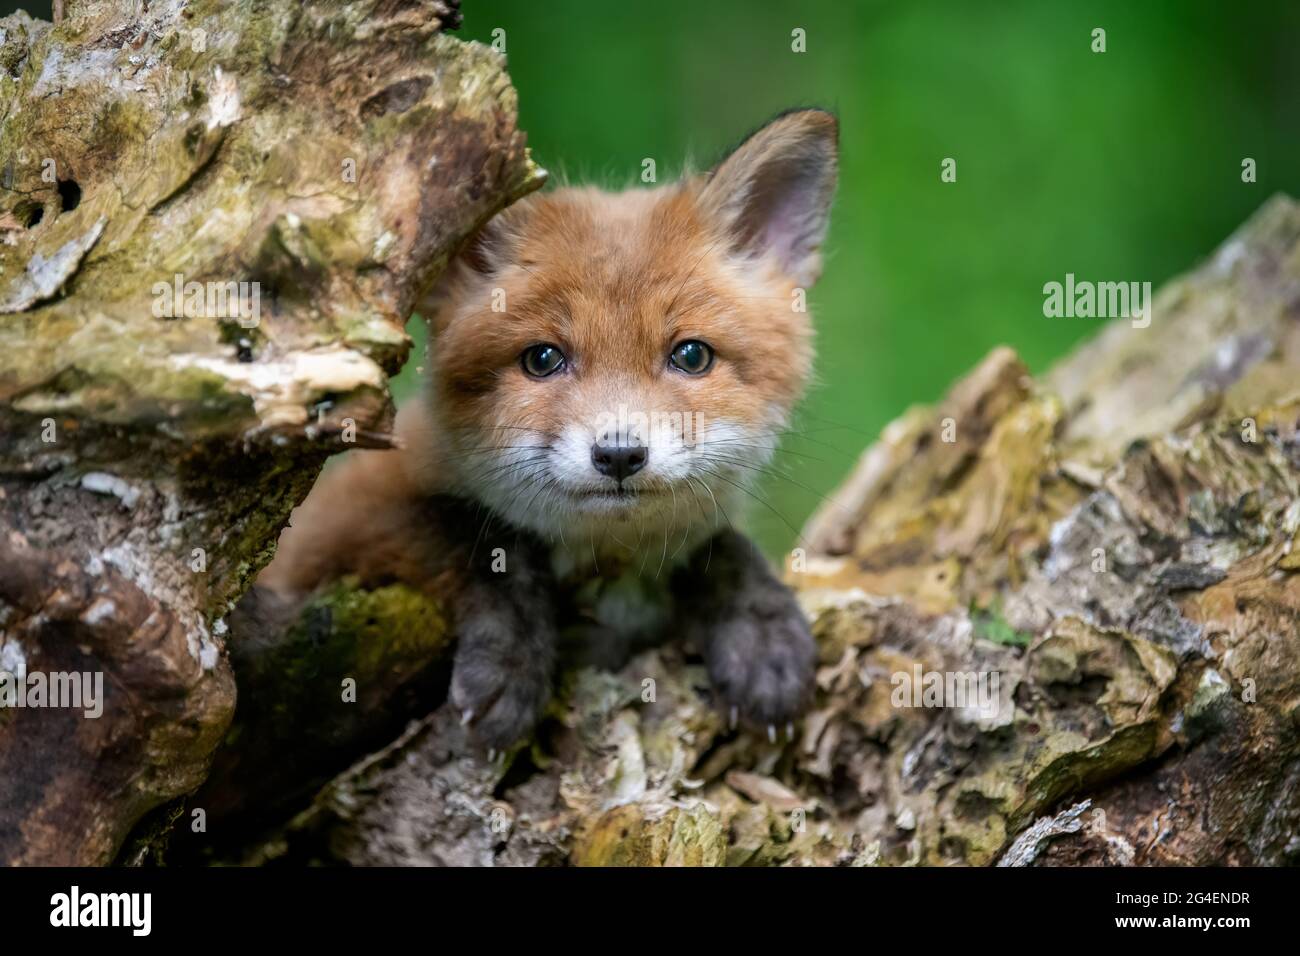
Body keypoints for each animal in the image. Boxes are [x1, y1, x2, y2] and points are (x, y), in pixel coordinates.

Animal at [253, 109, 839, 750]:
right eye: (542, 359)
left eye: (690, 355)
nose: (619, 455)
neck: (601, 565)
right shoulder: (340, 522)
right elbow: (477, 537)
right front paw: (513, 659)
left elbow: (724, 549)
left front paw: (763, 632)